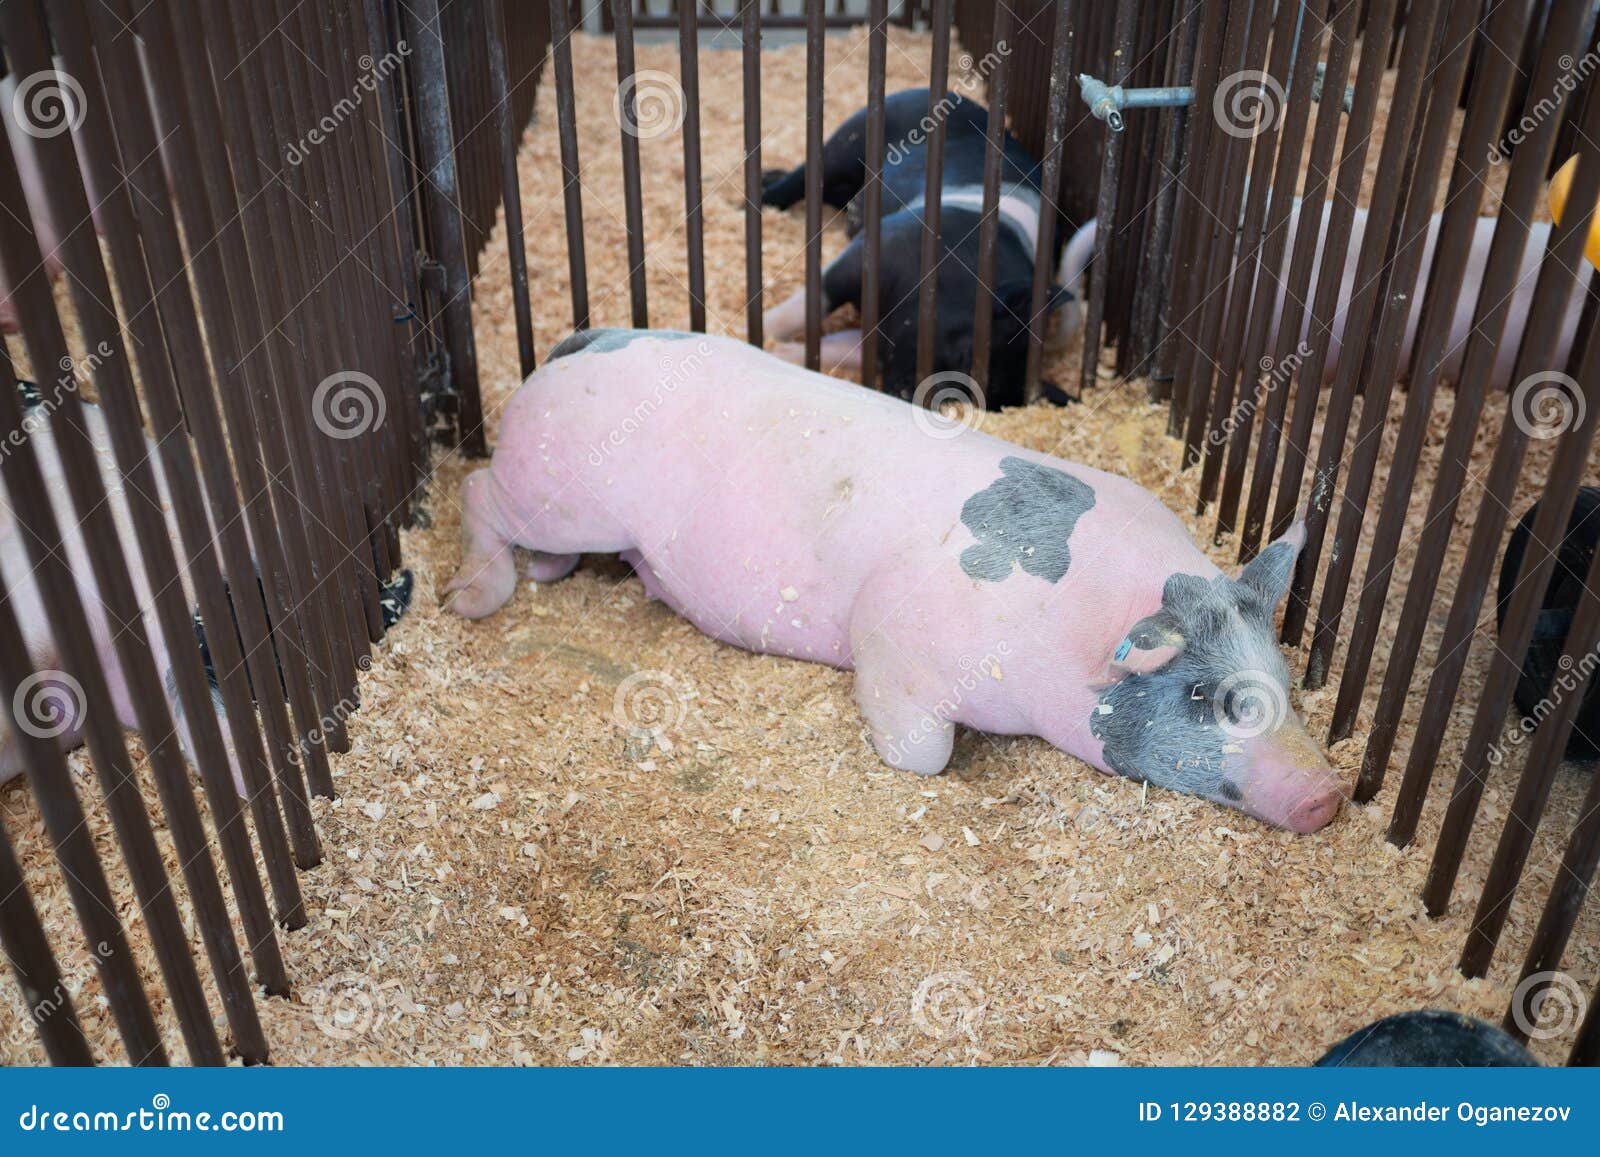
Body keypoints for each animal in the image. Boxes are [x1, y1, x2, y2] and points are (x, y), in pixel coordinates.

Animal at [443, 328, 1345, 832]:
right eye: (1207, 696)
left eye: (1283, 678)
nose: (1326, 796)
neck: (1072, 627)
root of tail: (576, 344)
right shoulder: (896, 633)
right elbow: (924, 752)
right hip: (563, 492)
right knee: (477, 489)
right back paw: (470, 599)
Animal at [759, 88, 1076, 407]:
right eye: (963, 358)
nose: (909, 398)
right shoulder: (879, 248)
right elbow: (808, 305)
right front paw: (759, 334)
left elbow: (839, 347)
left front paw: (779, 354)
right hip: (850, 141)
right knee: (806, 176)